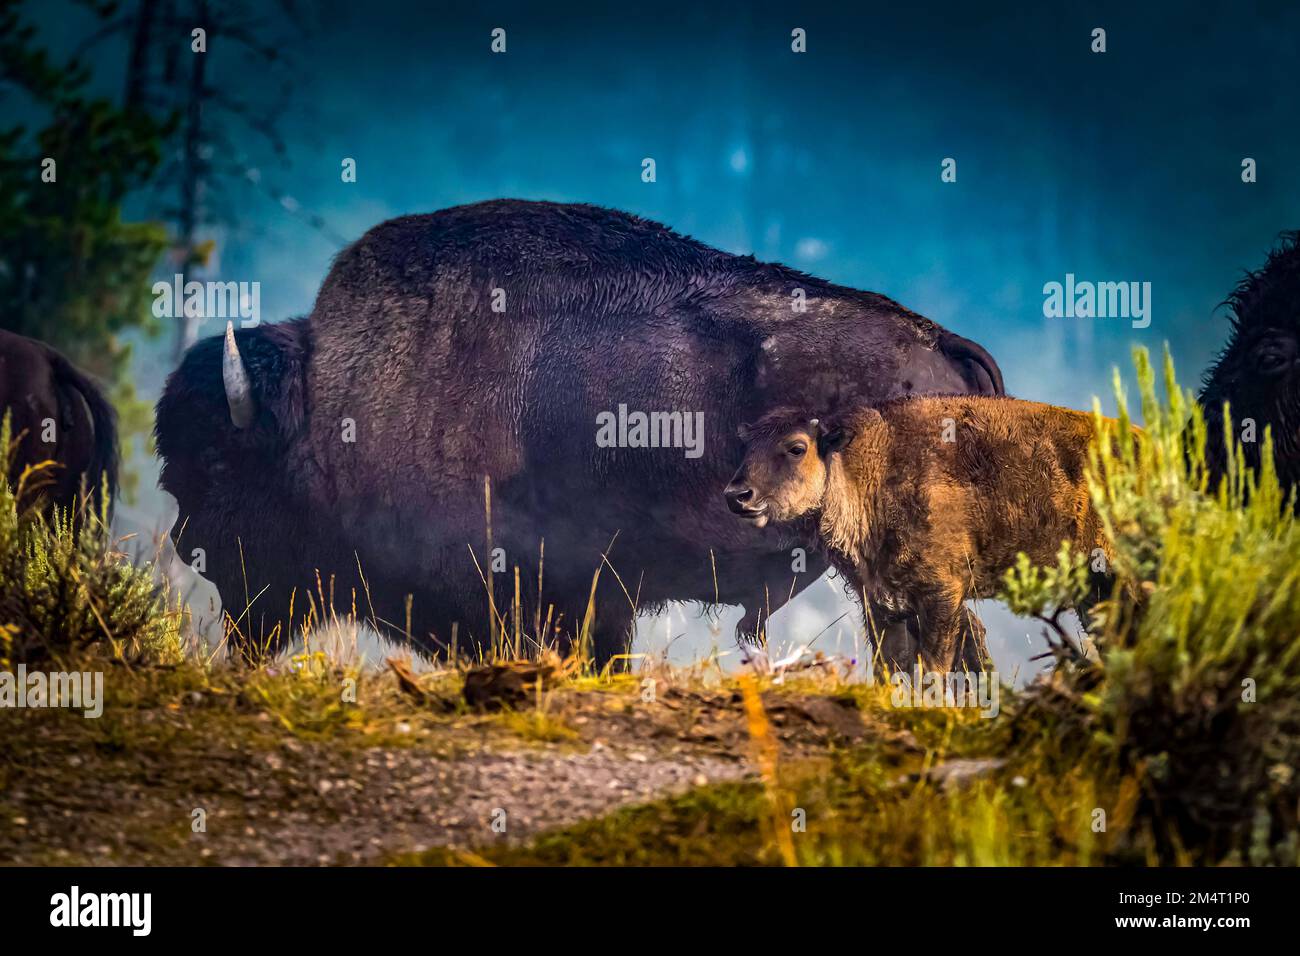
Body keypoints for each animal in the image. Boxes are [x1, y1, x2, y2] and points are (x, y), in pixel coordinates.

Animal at [724, 397, 1118, 672]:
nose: (737, 495)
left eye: (796, 448)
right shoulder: (881, 605)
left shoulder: (942, 597)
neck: (870, 472)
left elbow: (934, 669)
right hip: (1095, 587)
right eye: (747, 449)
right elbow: (889, 668)